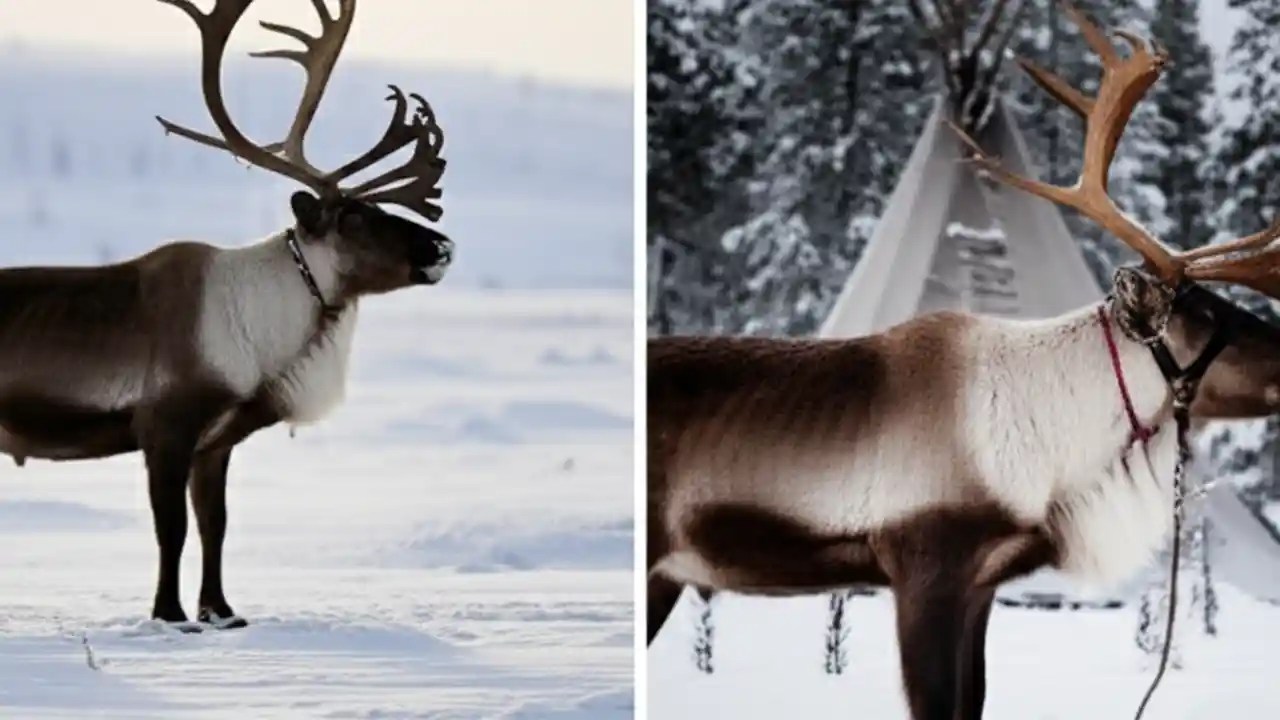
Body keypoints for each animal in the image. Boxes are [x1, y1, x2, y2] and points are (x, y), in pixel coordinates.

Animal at [0, 0, 452, 632]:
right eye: (355, 219)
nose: (442, 247)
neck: (265, 335)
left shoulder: (216, 442)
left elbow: (216, 526)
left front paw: (221, 611)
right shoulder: (164, 426)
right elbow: (172, 531)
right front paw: (169, 615)